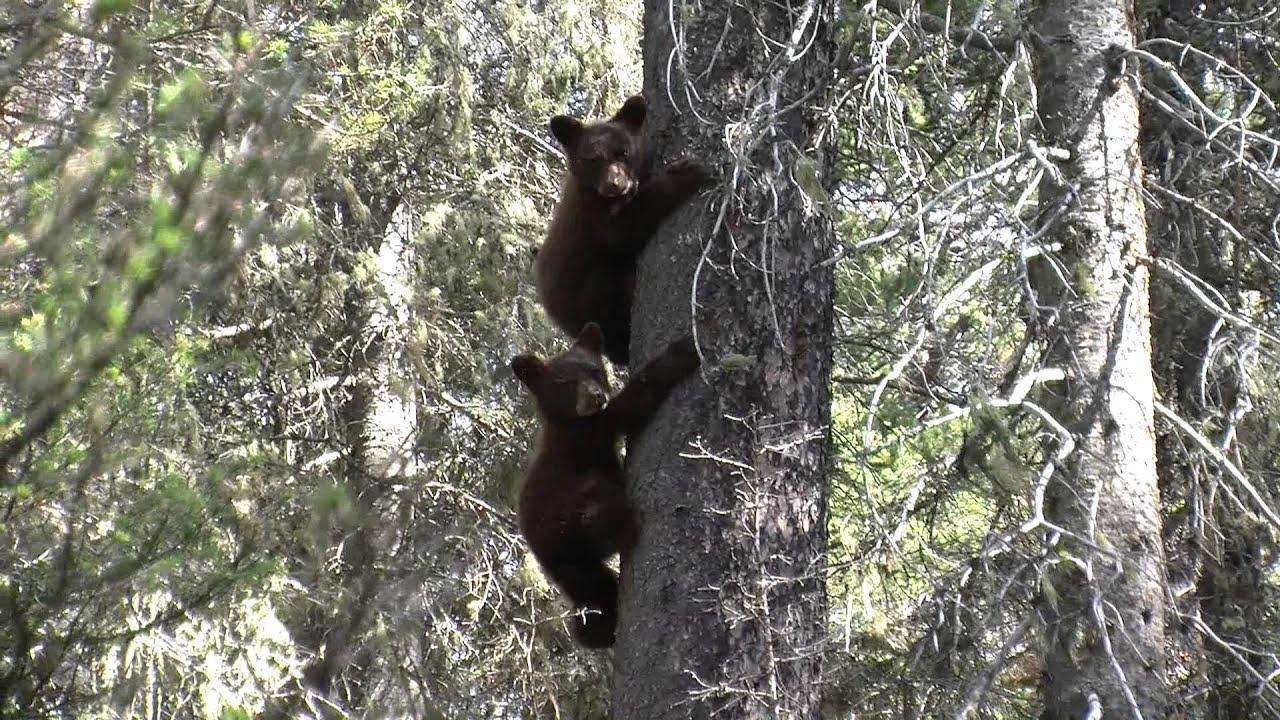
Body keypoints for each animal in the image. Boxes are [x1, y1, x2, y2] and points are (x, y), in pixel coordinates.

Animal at [510, 321, 700, 648]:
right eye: (564, 381)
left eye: (595, 370)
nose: (596, 395)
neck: (565, 420)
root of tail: (538, 542)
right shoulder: (590, 432)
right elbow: (633, 403)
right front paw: (682, 353)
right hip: (568, 512)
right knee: (596, 508)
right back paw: (625, 524)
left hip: (569, 564)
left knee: (594, 586)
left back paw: (599, 628)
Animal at [535, 94, 713, 366]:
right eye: (593, 159)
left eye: (624, 152)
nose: (614, 184)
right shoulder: (591, 211)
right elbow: (621, 231)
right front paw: (687, 173)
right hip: (592, 301)